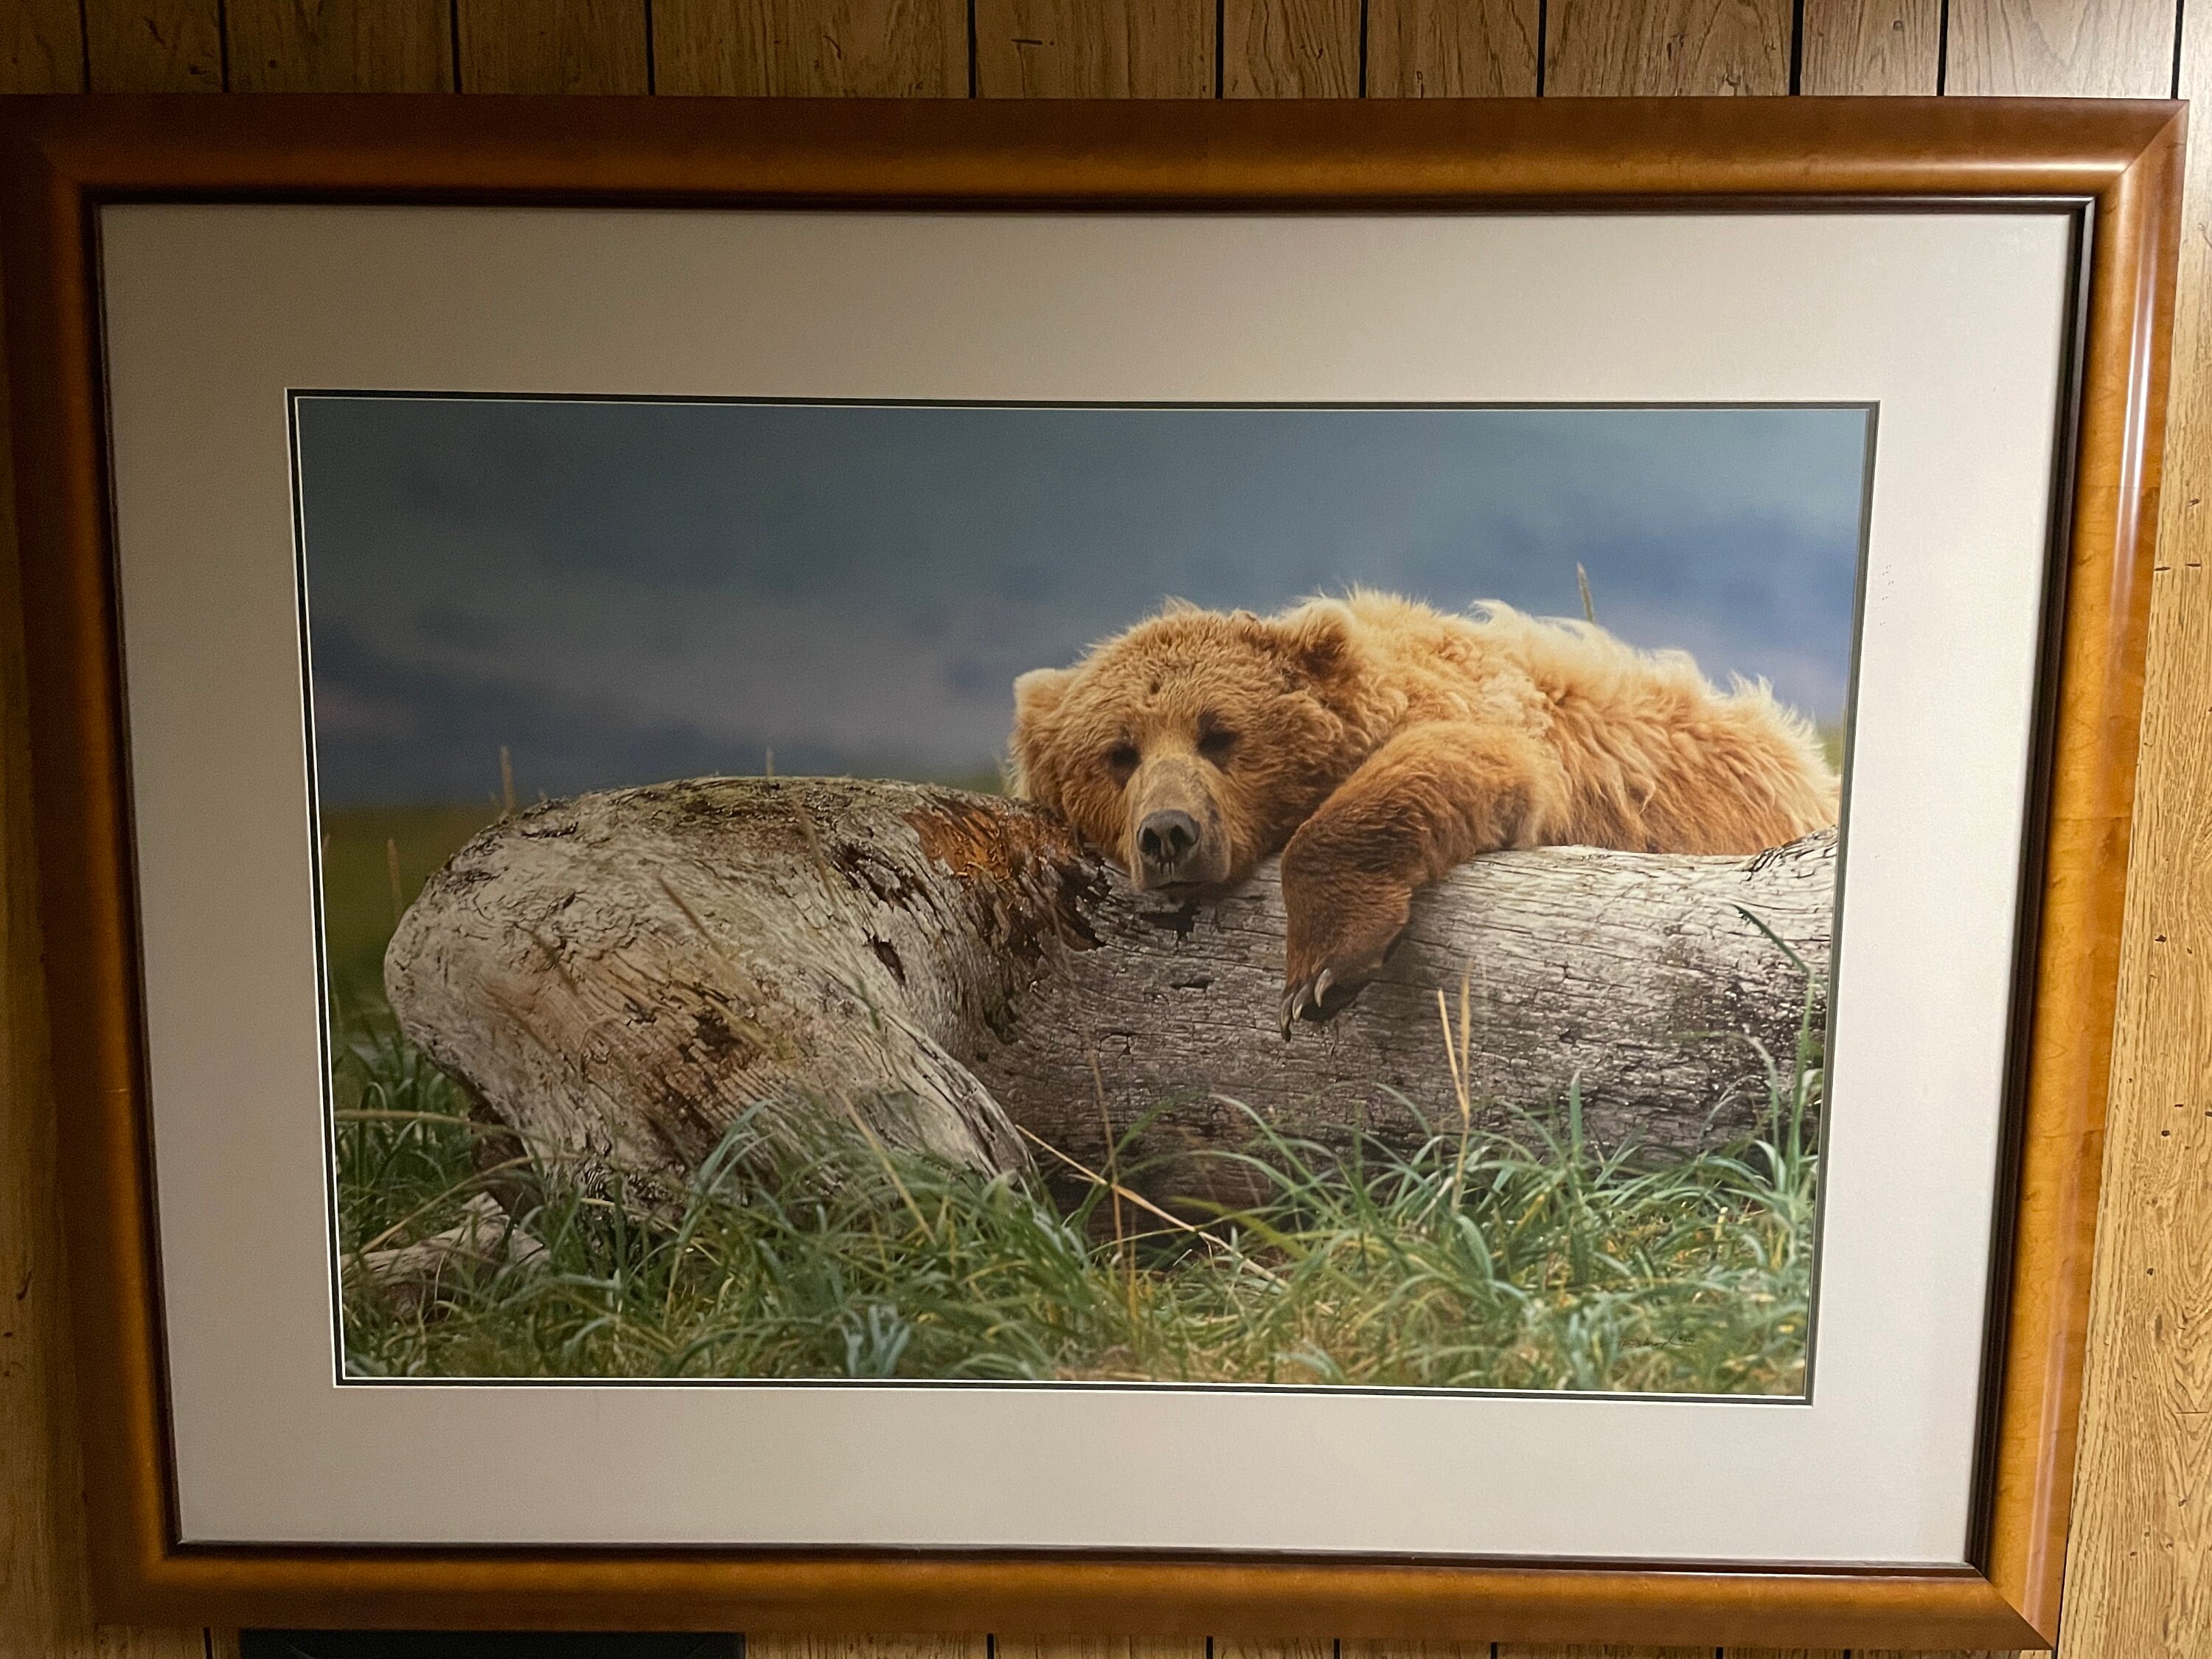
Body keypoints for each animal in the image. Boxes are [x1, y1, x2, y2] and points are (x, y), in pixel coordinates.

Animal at [1008, 589, 1839, 1034]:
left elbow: (1459, 762)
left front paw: (1319, 976)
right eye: (1118, 752)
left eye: (1220, 734)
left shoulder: (1496, 720)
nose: (1169, 834)